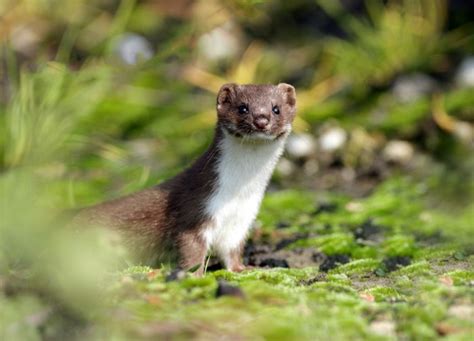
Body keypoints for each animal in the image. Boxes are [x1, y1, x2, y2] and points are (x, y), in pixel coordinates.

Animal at [74, 82, 296, 274]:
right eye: (242, 108)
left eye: (276, 109)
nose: (261, 120)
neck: (237, 193)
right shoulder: (195, 209)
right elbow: (191, 250)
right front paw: (194, 274)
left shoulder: (240, 221)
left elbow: (232, 250)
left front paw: (243, 268)